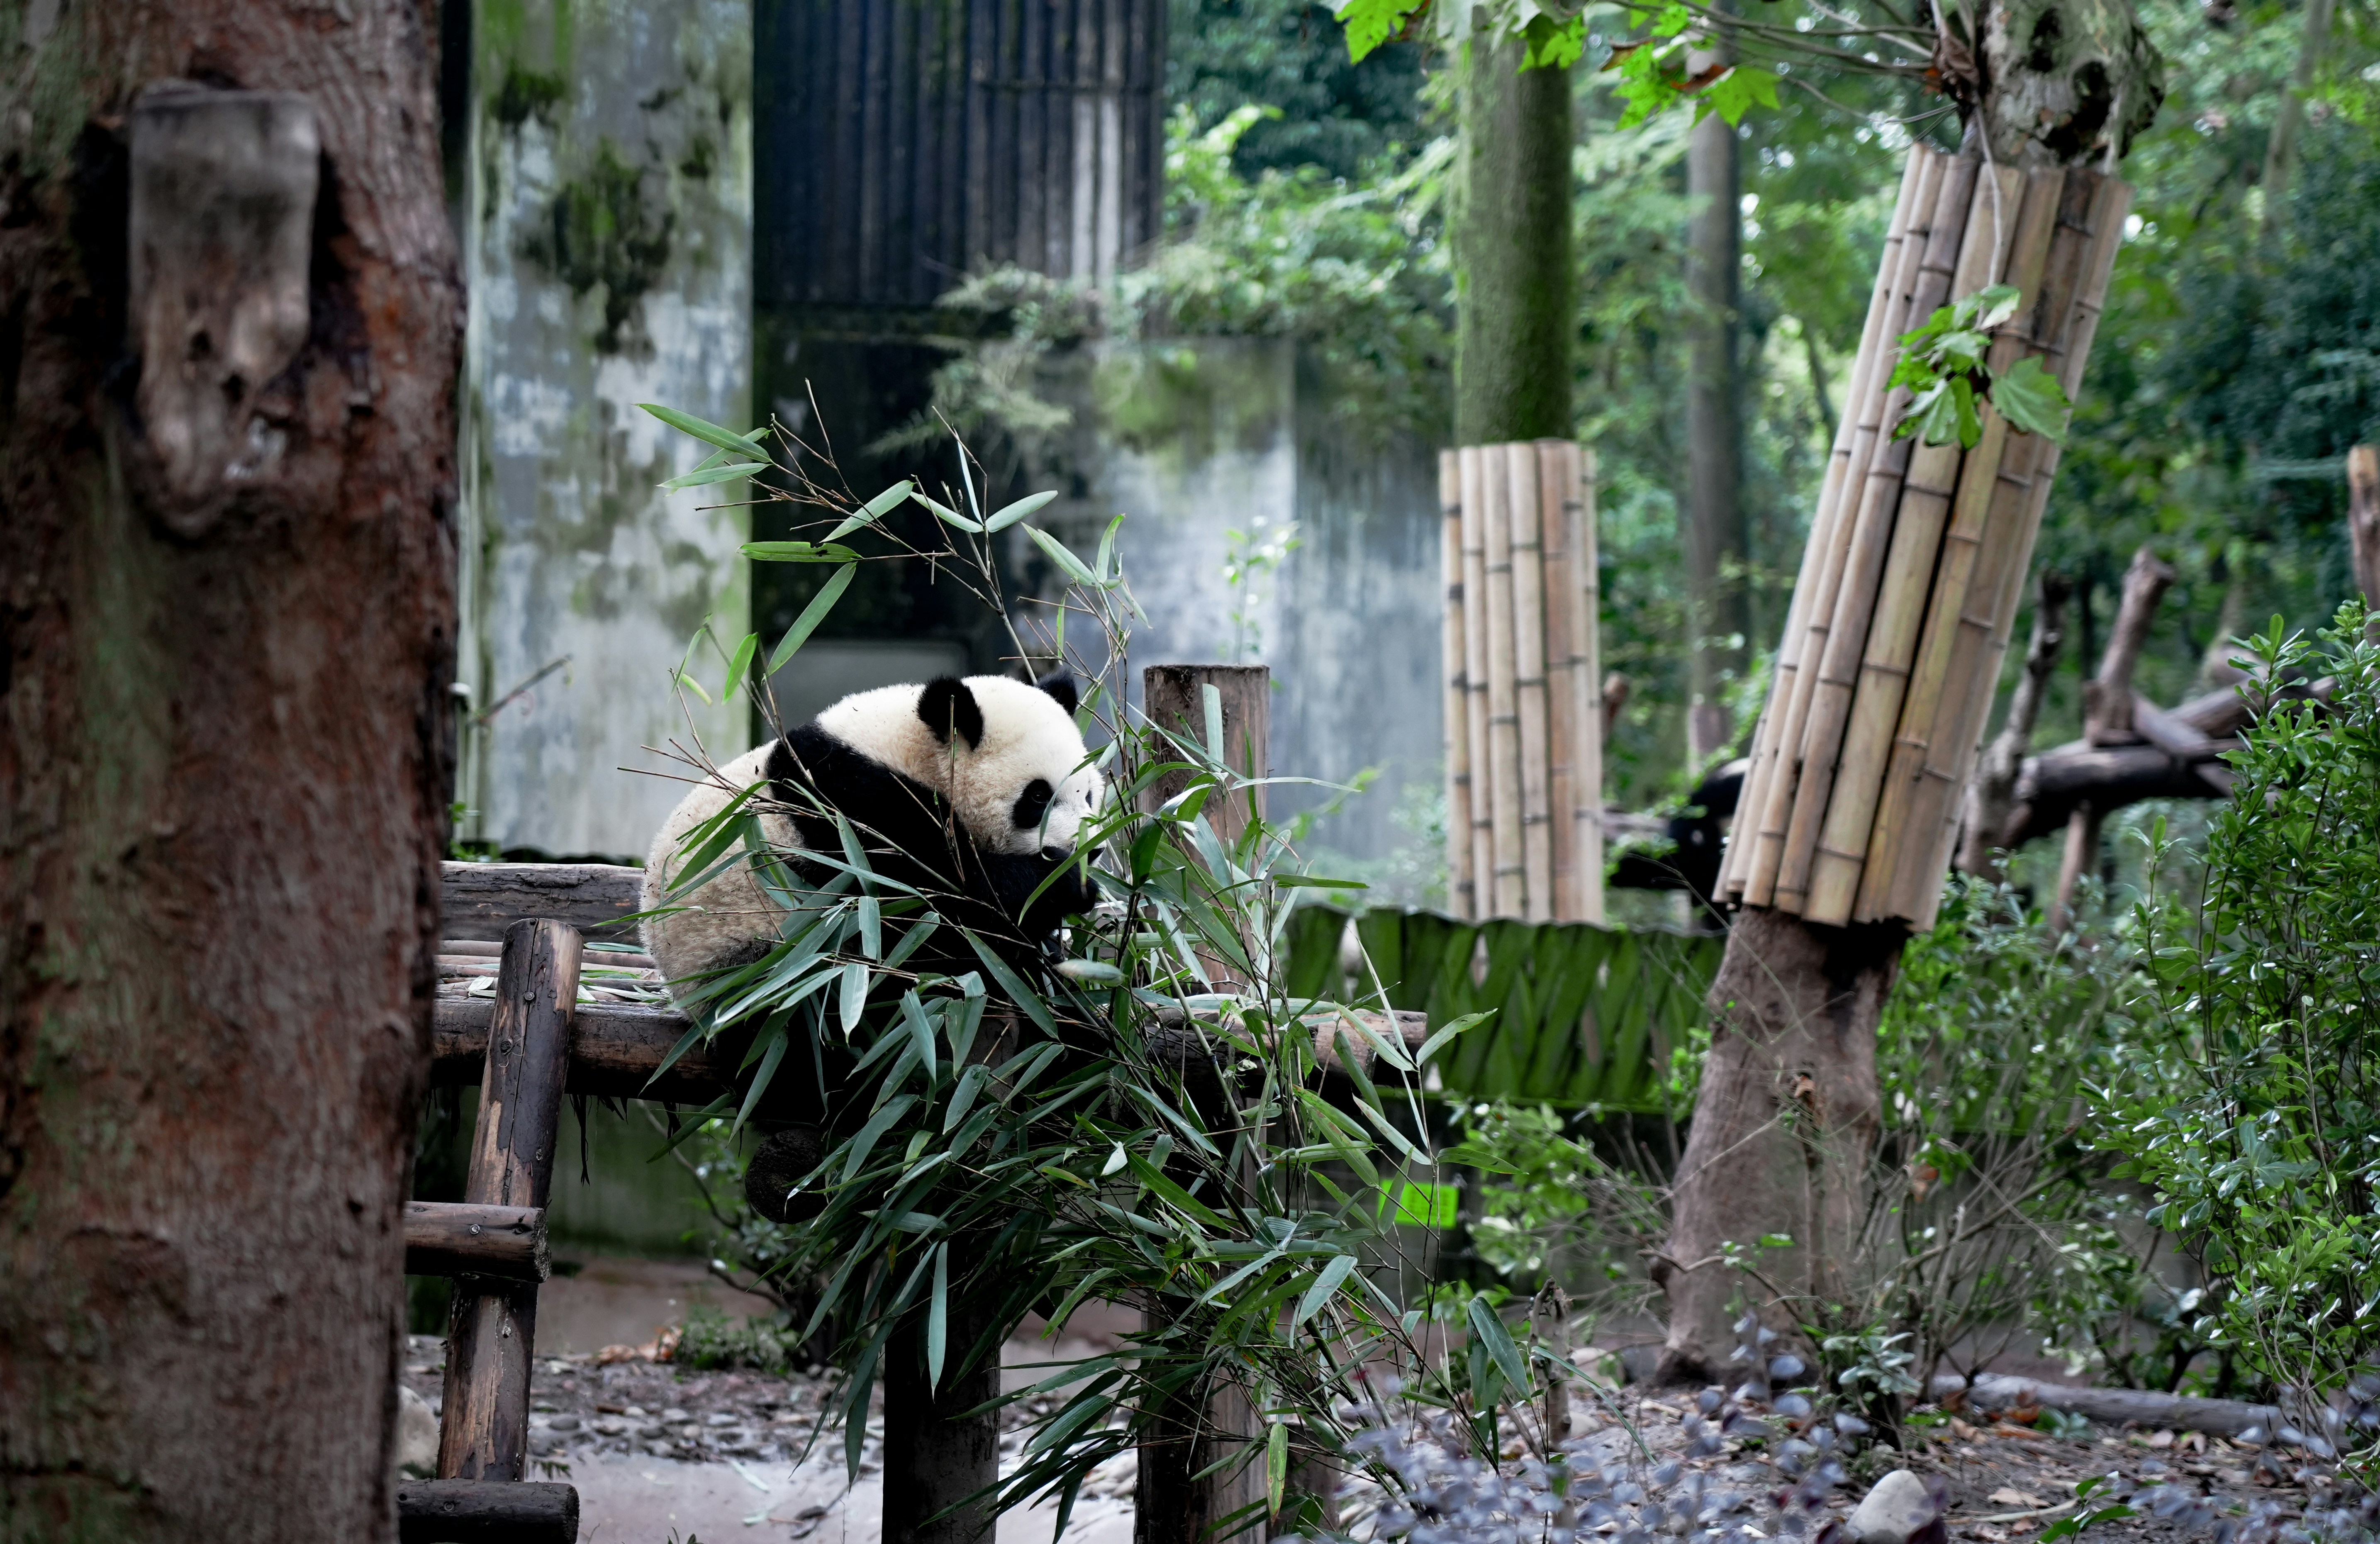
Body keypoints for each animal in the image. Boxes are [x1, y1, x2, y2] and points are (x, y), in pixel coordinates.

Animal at [641, 670, 1103, 1001]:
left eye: (1089, 794)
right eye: (1038, 796)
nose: (1092, 851)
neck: (913, 749)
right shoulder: (851, 802)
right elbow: (936, 898)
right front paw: (1065, 887)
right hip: (758, 949)